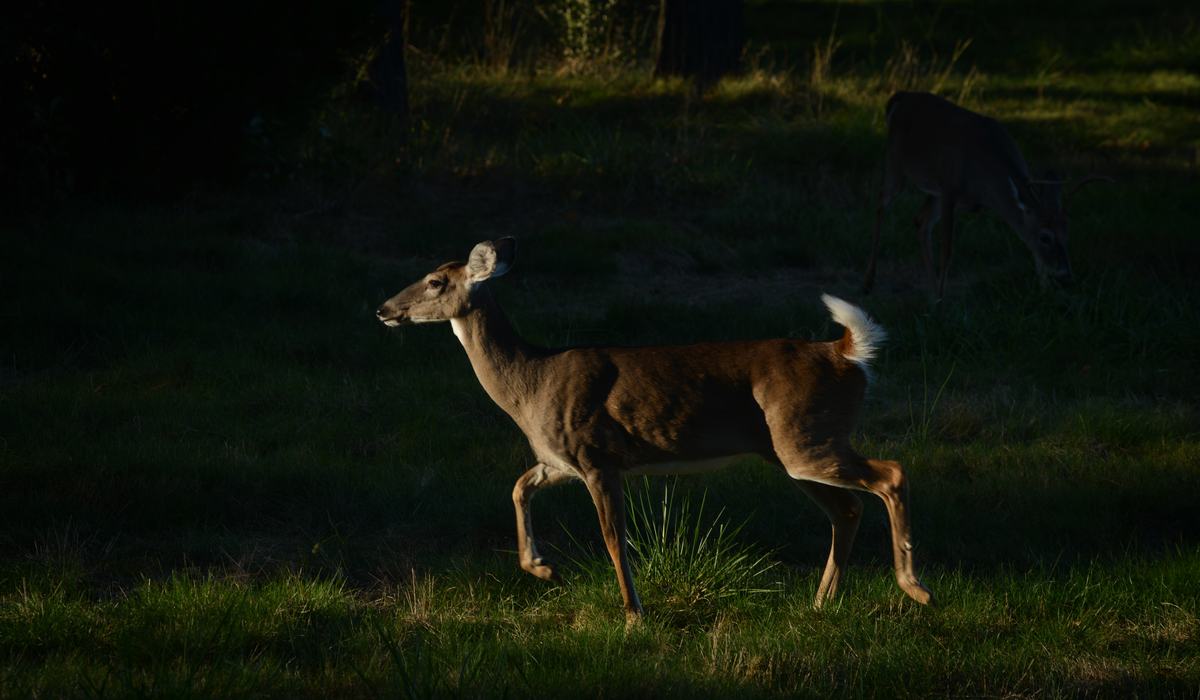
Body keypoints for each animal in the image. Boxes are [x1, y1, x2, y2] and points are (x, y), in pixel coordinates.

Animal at [376, 238, 933, 623]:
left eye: (434, 281)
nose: (383, 309)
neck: (530, 383)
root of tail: (843, 352)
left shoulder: (597, 456)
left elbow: (613, 539)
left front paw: (632, 615)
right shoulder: (560, 460)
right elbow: (518, 486)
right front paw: (541, 567)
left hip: (805, 440)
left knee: (892, 473)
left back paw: (913, 587)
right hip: (792, 450)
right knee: (849, 507)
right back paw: (821, 602)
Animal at [861, 91, 1113, 298]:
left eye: (1066, 233)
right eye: (1045, 237)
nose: (1066, 276)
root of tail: (899, 98)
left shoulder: (956, 197)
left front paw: (1045, 289)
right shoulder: (949, 189)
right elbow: (948, 250)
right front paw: (942, 304)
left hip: (931, 190)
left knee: (920, 221)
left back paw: (932, 292)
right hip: (896, 164)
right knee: (880, 205)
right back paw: (869, 282)